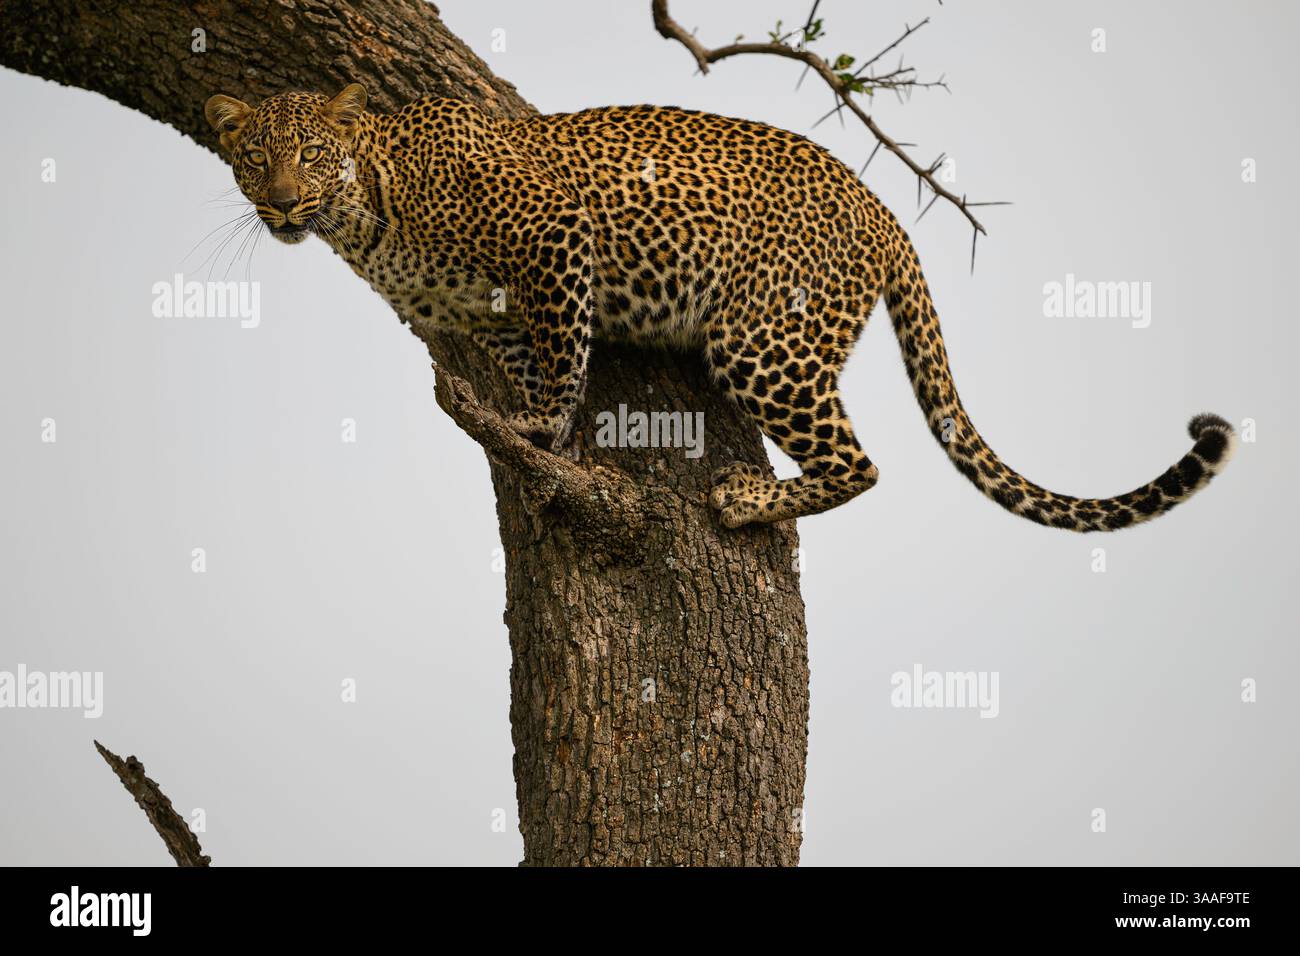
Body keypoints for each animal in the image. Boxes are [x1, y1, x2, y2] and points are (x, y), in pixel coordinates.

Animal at [204, 82, 1235, 531]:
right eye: (254, 157)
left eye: (310, 152)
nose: (281, 205)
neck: (367, 217)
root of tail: (884, 212)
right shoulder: (495, 314)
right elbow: (532, 358)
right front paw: (532, 422)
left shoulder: (554, 236)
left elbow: (565, 356)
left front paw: (543, 429)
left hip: (764, 338)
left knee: (861, 464)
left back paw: (747, 503)